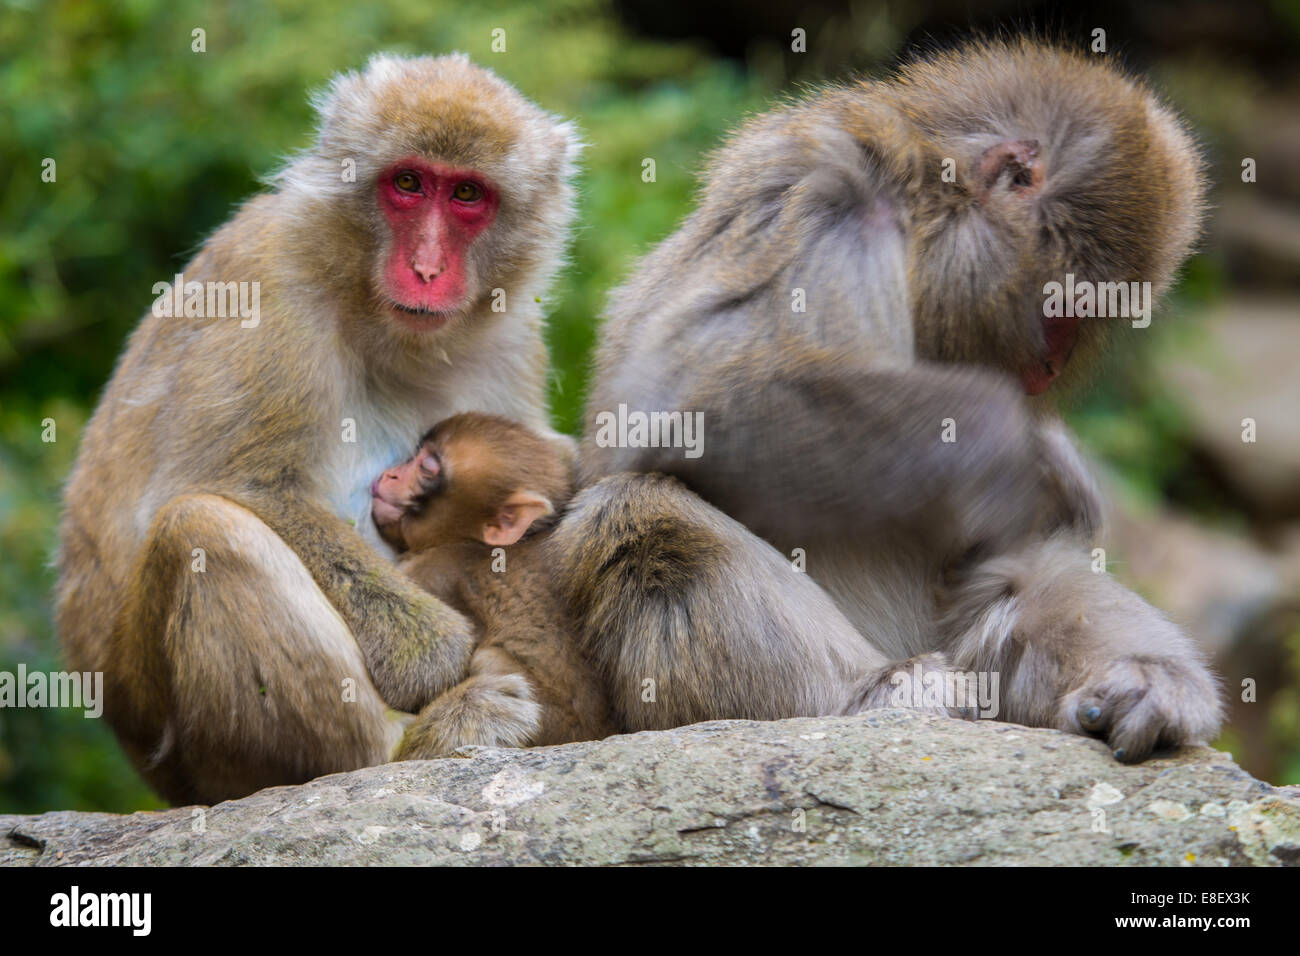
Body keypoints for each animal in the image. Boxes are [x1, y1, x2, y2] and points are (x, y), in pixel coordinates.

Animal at [55, 54, 582, 805]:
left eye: (467, 195)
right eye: (408, 183)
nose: (426, 269)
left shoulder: (514, 336)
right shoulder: (265, 288)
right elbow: (228, 483)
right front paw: (433, 653)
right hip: (184, 742)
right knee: (201, 528)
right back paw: (408, 748)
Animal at [568, 37, 1222, 762]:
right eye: (1067, 305)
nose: (1052, 365)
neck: (920, 225)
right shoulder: (827, 207)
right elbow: (687, 382)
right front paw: (1023, 452)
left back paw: (1141, 682)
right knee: (642, 509)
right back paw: (864, 692)